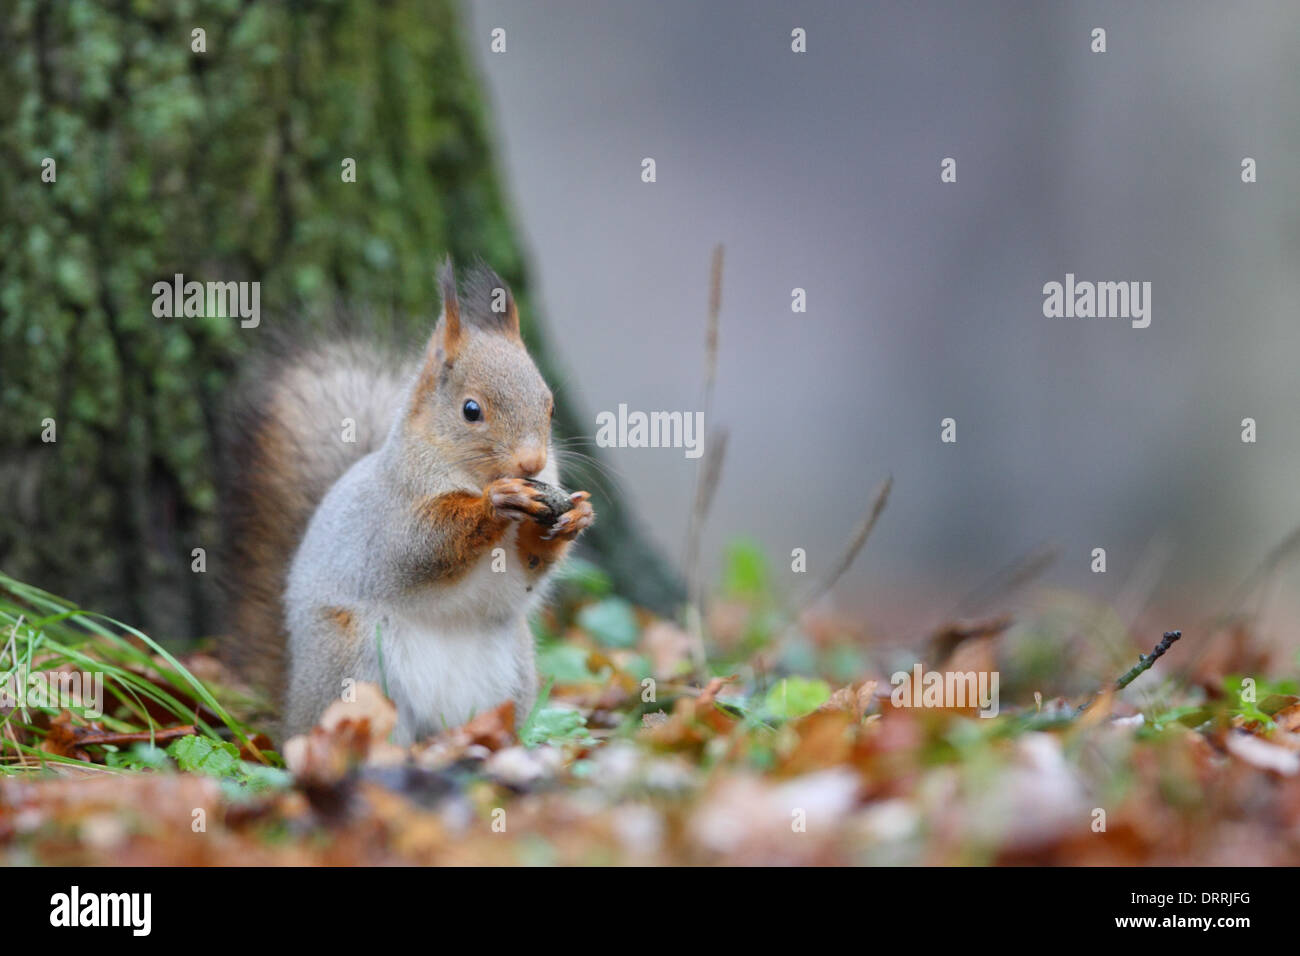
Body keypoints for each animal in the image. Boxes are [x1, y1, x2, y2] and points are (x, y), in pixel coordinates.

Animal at [220, 260, 594, 744]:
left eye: (550, 407)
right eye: (470, 410)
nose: (532, 462)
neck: (471, 476)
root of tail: (292, 707)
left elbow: (525, 573)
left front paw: (575, 517)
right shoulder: (390, 514)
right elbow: (422, 547)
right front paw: (497, 501)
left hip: (513, 671)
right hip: (352, 662)